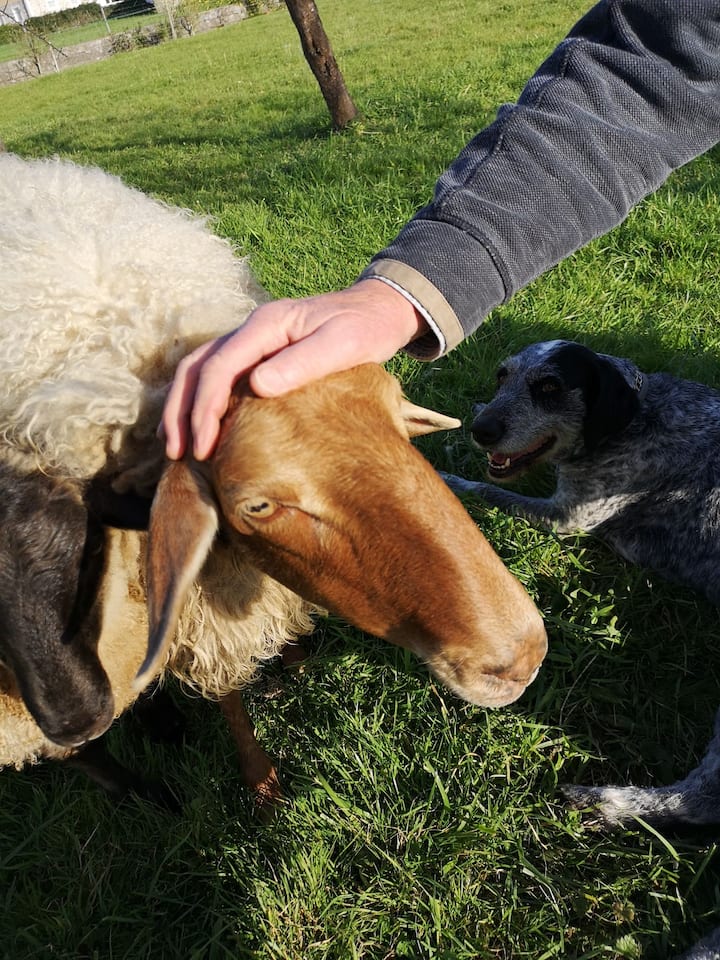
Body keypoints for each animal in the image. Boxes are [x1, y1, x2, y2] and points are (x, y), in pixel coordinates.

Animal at [0, 153, 547, 807]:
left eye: (396, 413)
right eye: (258, 506)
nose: (521, 656)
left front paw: (294, 660)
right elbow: (226, 689)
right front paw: (262, 787)